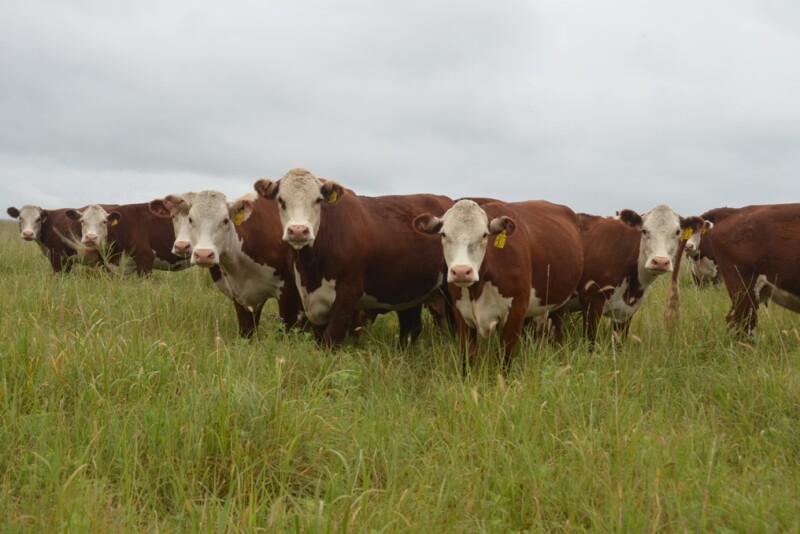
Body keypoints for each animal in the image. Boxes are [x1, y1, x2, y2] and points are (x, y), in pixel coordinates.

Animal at [253, 167, 453, 348]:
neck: (311, 268)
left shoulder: (347, 293)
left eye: (317, 200)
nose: (298, 230)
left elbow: (331, 340)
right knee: (411, 328)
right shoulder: (312, 301)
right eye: (281, 200)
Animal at [413, 199, 584, 370]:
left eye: (484, 235)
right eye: (443, 234)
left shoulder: (516, 310)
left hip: (559, 304)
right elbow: (467, 357)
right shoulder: (460, 311)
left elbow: (504, 358)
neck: (477, 290)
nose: (461, 271)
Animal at [575, 204, 706, 343]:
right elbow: (590, 342)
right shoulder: (591, 302)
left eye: (677, 232)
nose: (660, 262)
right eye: (644, 230)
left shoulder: (625, 312)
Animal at [690, 203, 800, 334]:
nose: (688, 246)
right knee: (742, 323)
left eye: (699, 233)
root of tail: (738, 211)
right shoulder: (697, 277)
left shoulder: (715, 276)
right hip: (743, 289)